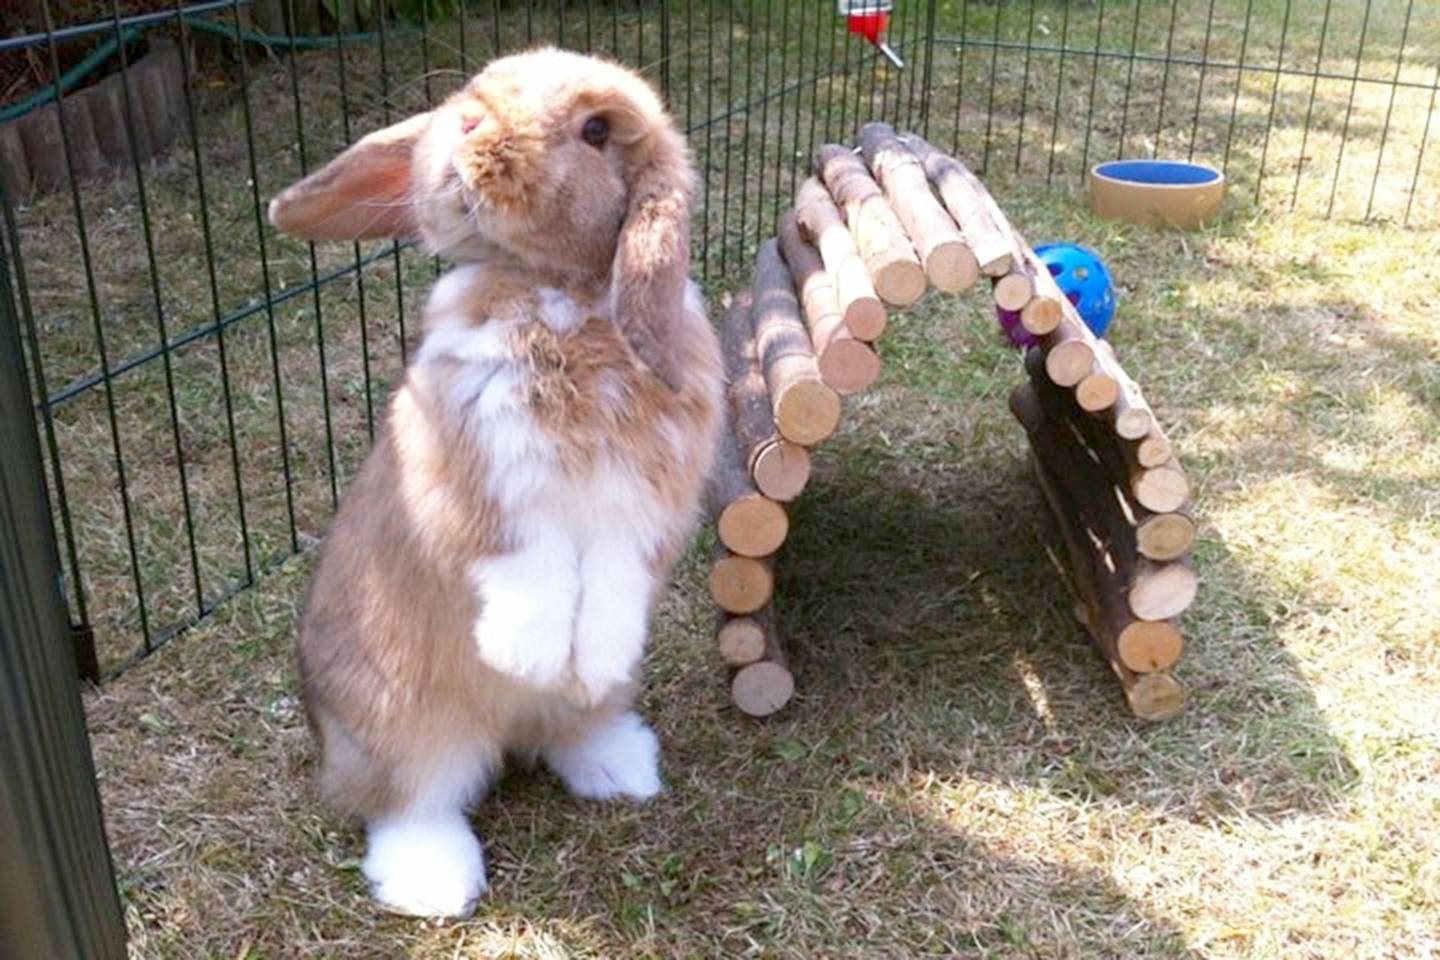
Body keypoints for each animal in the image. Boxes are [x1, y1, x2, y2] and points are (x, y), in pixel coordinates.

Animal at [266, 48, 723, 918]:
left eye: (596, 130)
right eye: (477, 93)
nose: (469, 121)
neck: (563, 294)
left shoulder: (640, 512)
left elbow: (609, 583)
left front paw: (579, 661)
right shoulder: (481, 486)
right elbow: (527, 572)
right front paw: (531, 656)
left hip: (596, 699)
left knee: (565, 730)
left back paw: (619, 766)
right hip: (401, 720)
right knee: (411, 801)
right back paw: (434, 884)